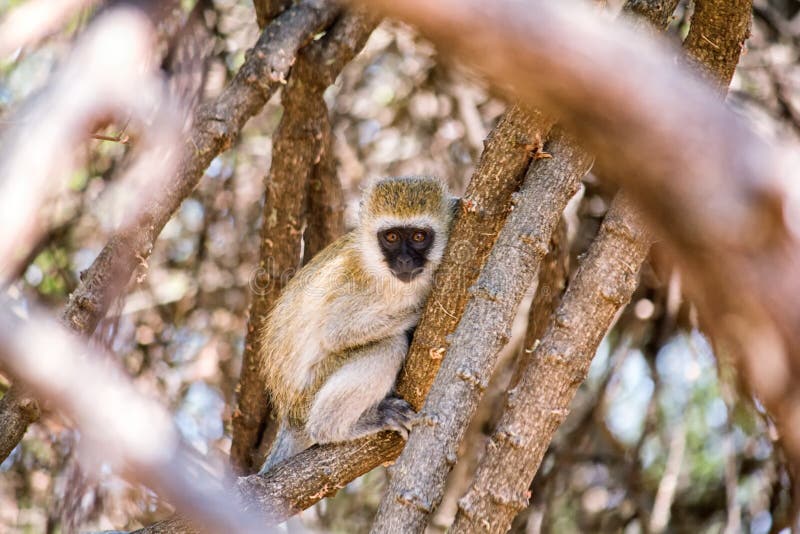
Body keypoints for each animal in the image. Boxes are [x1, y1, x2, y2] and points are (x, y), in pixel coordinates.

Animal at [258, 176, 456, 472]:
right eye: (392, 237)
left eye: (419, 237)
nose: (405, 260)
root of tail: (289, 413)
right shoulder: (356, 283)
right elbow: (335, 331)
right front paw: (419, 309)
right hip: (310, 391)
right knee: (389, 345)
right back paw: (335, 427)